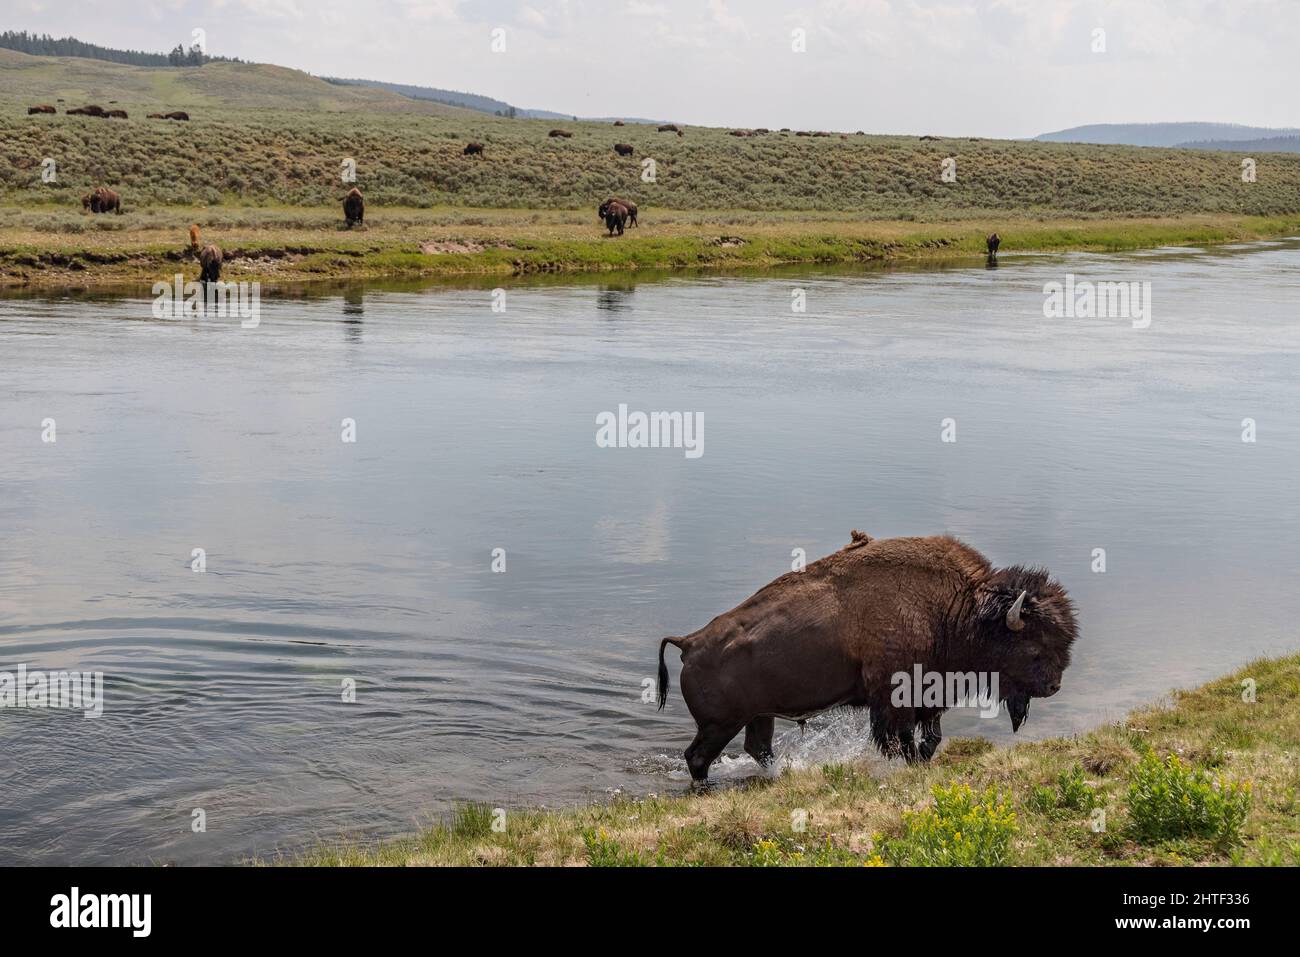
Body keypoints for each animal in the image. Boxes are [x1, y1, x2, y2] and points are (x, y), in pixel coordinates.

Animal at [656, 531, 1078, 782]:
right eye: (1036, 644)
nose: (1054, 686)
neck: (955, 609)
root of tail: (689, 643)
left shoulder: (930, 696)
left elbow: (932, 735)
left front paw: (922, 759)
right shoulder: (896, 697)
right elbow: (902, 738)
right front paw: (910, 763)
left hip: (757, 716)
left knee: (757, 748)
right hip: (719, 725)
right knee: (698, 757)